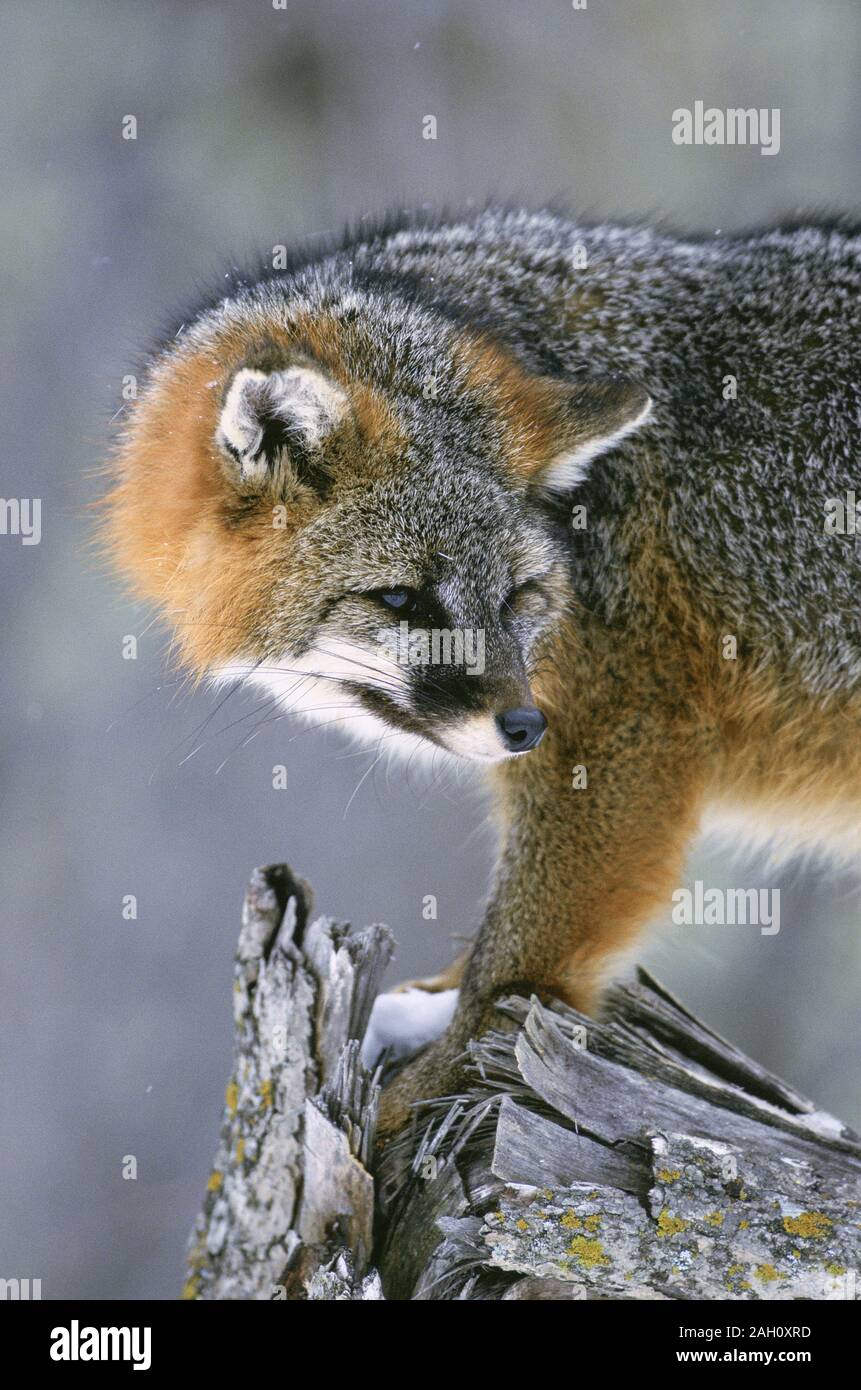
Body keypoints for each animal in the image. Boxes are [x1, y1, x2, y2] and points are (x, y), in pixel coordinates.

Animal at [100, 205, 861, 1144]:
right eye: (399, 599)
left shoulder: (615, 736)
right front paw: (421, 1010)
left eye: (518, 594)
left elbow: (516, 960)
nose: (523, 727)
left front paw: (434, 1078)